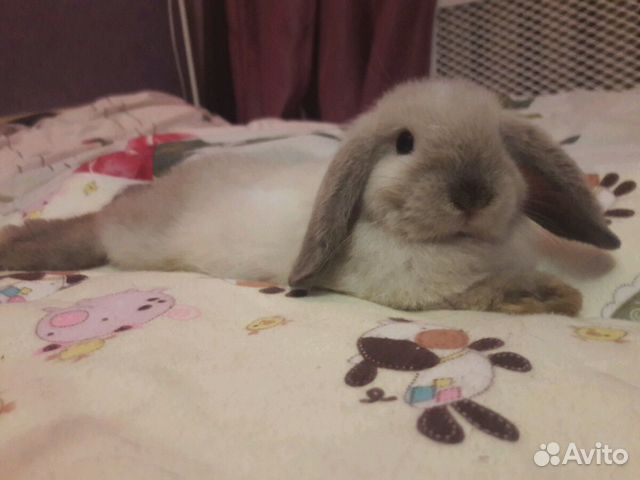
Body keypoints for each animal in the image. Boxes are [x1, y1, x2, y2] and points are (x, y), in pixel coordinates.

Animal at [0, 79, 619, 316]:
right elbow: (492, 293)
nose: (472, 191)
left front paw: (562, 294)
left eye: (500, 144)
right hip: (131, 240)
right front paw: (553, 299)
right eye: (404, 143)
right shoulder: (431, 295)